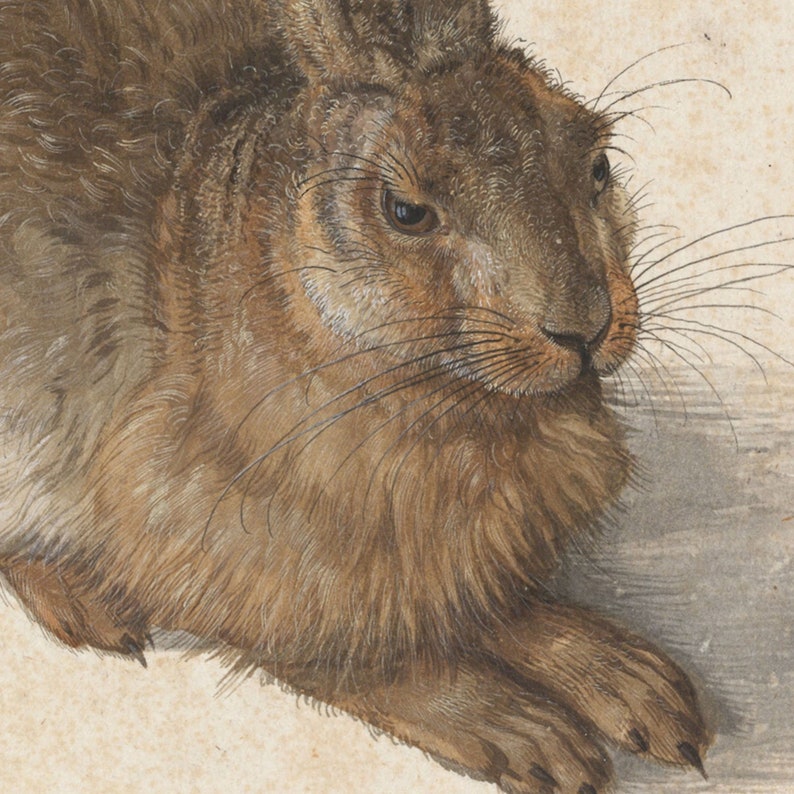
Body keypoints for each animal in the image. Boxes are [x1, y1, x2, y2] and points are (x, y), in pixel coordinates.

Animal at [0, 1, 712, 791]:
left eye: (598, 165)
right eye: (405, 212)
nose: (584, 328)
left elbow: (493, 607)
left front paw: (631, 682)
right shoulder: (233, 547)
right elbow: (366, 660)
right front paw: (528, 732)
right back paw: (87, 606)